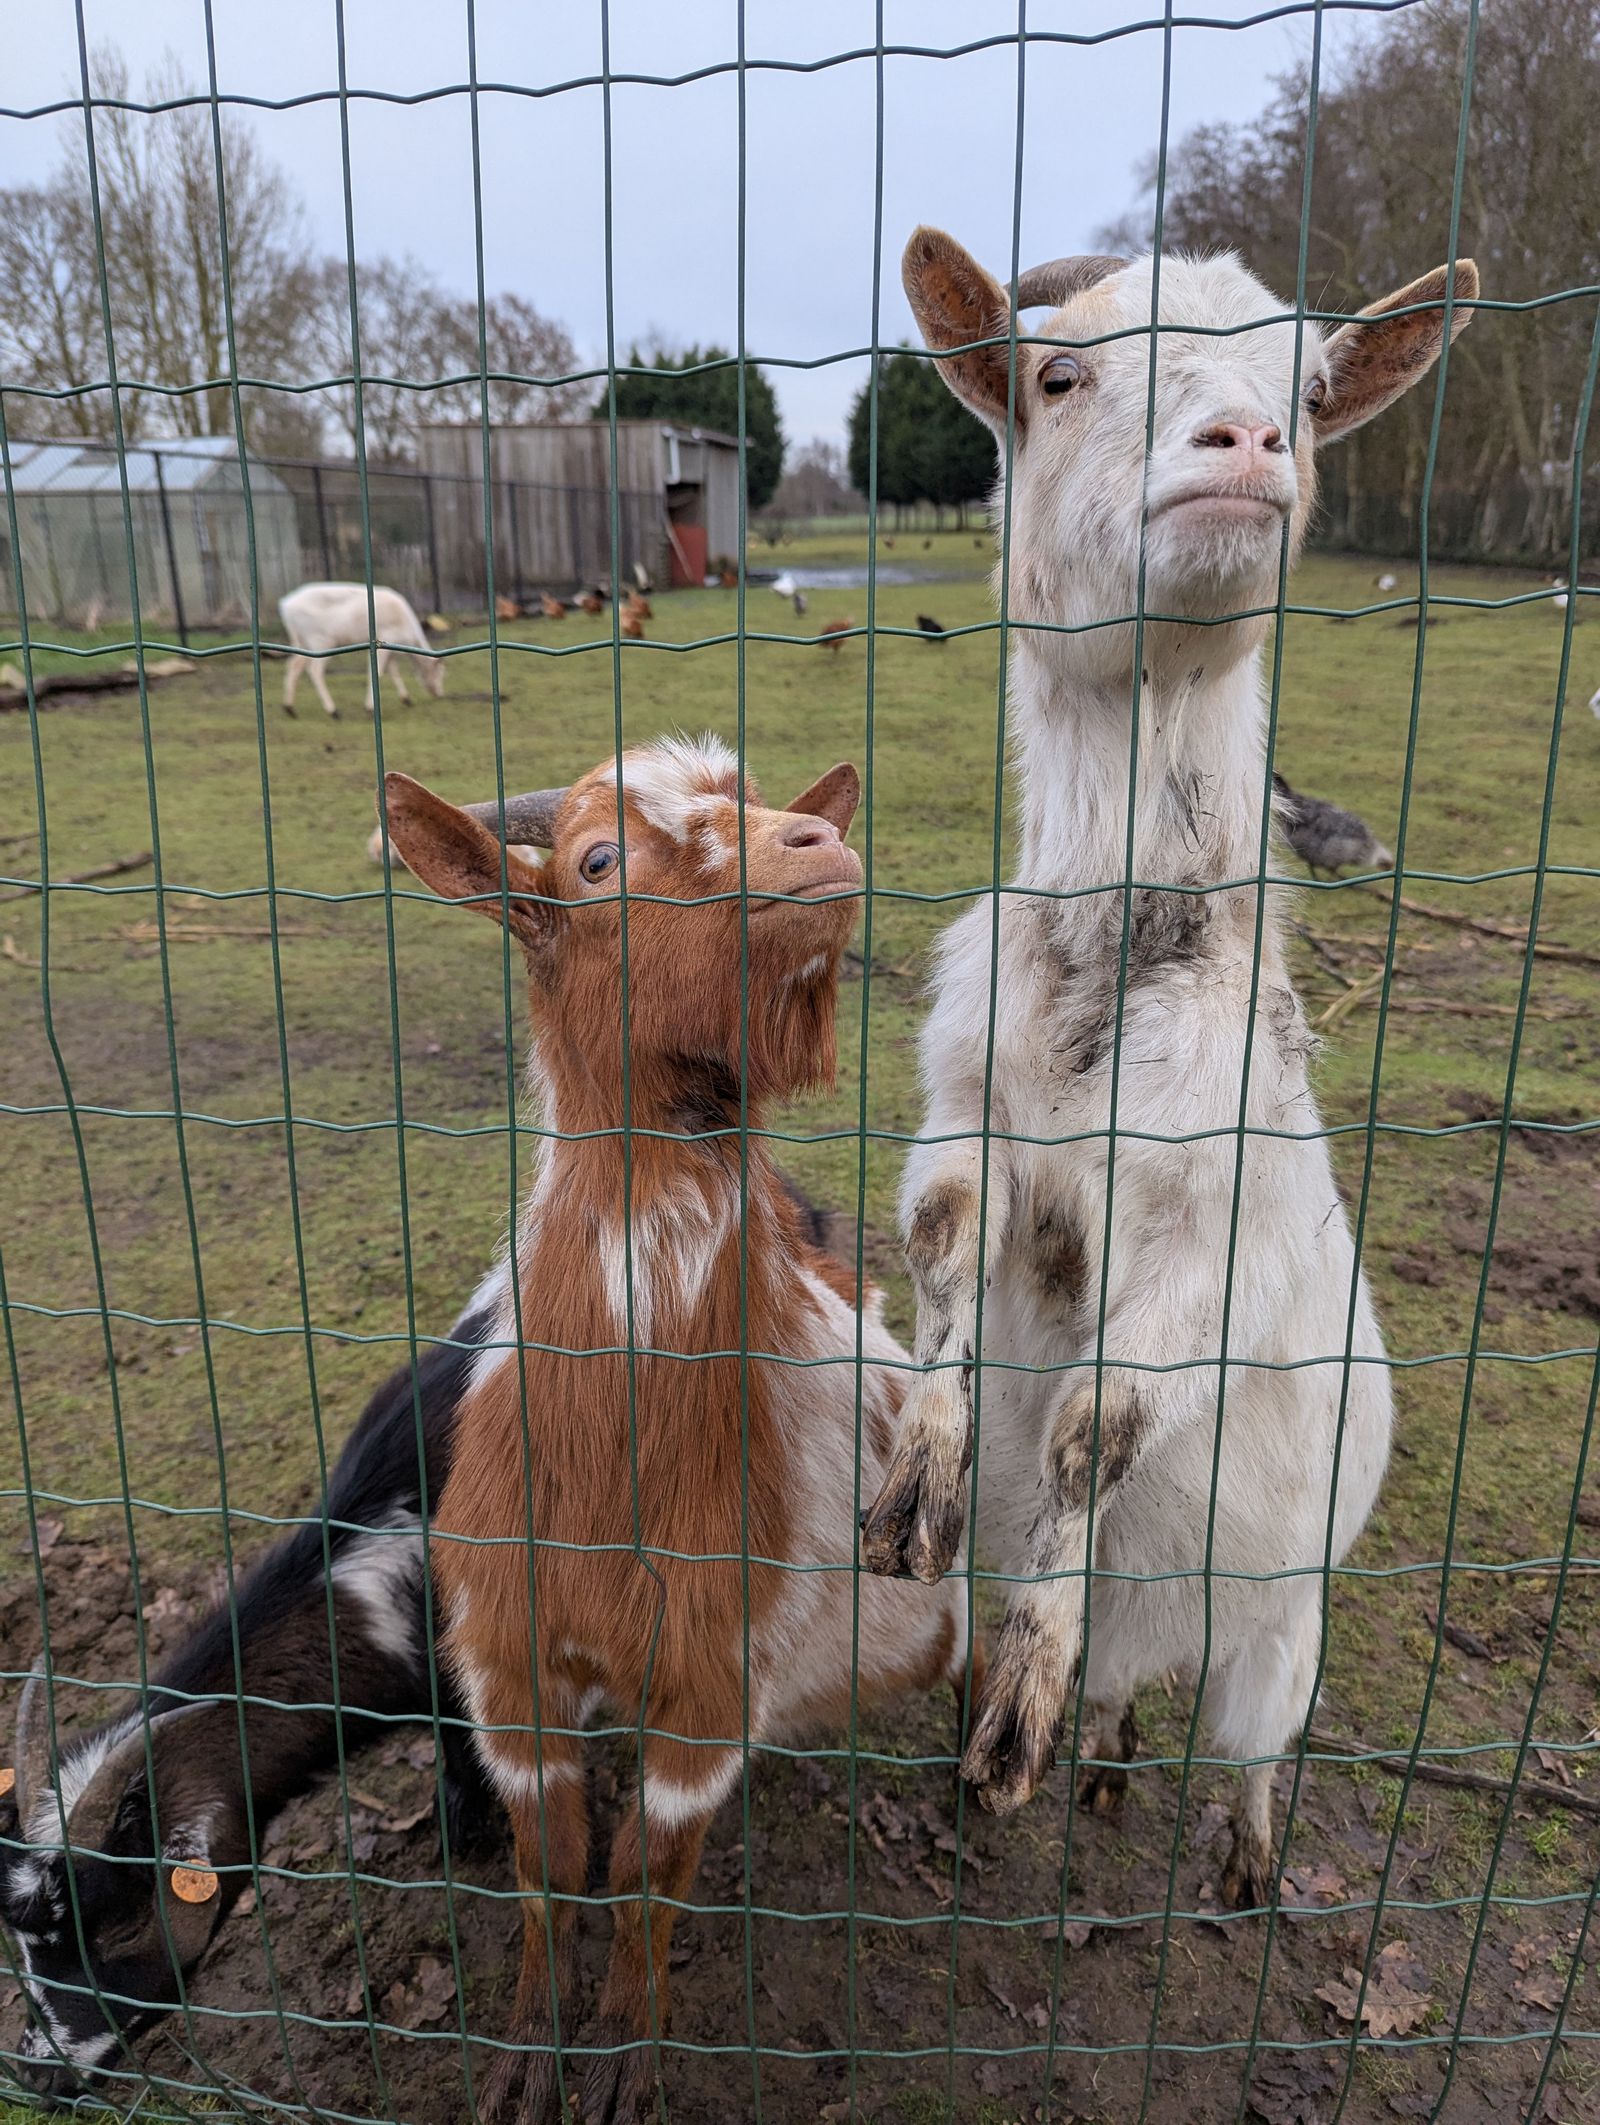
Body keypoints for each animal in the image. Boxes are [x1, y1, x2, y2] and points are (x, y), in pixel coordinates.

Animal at [278, 583, 444, 719]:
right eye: (440, 673)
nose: (439, 694)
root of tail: (285, 605)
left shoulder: (388, 646)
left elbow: (393, 671)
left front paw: (406, 699)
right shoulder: (383, 640)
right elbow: (377, 672)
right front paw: (370, 708)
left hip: (302, 642)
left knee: (294, 665)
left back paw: (289, 708)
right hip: (320, 641)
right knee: (314, 670)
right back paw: (333, 711)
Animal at [382, 734, 973, 2125]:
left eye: (753, 802)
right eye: (597, 859)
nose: (820, 846)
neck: (613, 1477)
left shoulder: (712, 1683)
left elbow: (651, 1881)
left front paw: (621, 2067)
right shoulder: (504, 1660)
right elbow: (551, 1868)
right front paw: (523, 2061)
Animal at [860, 228, 1476, 1903]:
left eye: (1311, 395)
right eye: (1060, 375)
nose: (1245, 445)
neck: (1110, 976)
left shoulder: (1205, 1209)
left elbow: (1096, 1432)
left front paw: (1017, 1699)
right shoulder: (967, 1108)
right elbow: (942, 1252)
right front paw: (918, 1491)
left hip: (1283, 1630)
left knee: (1252, 1745)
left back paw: (1231, 1860)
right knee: (1138, 1710)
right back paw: (1112, 1758)